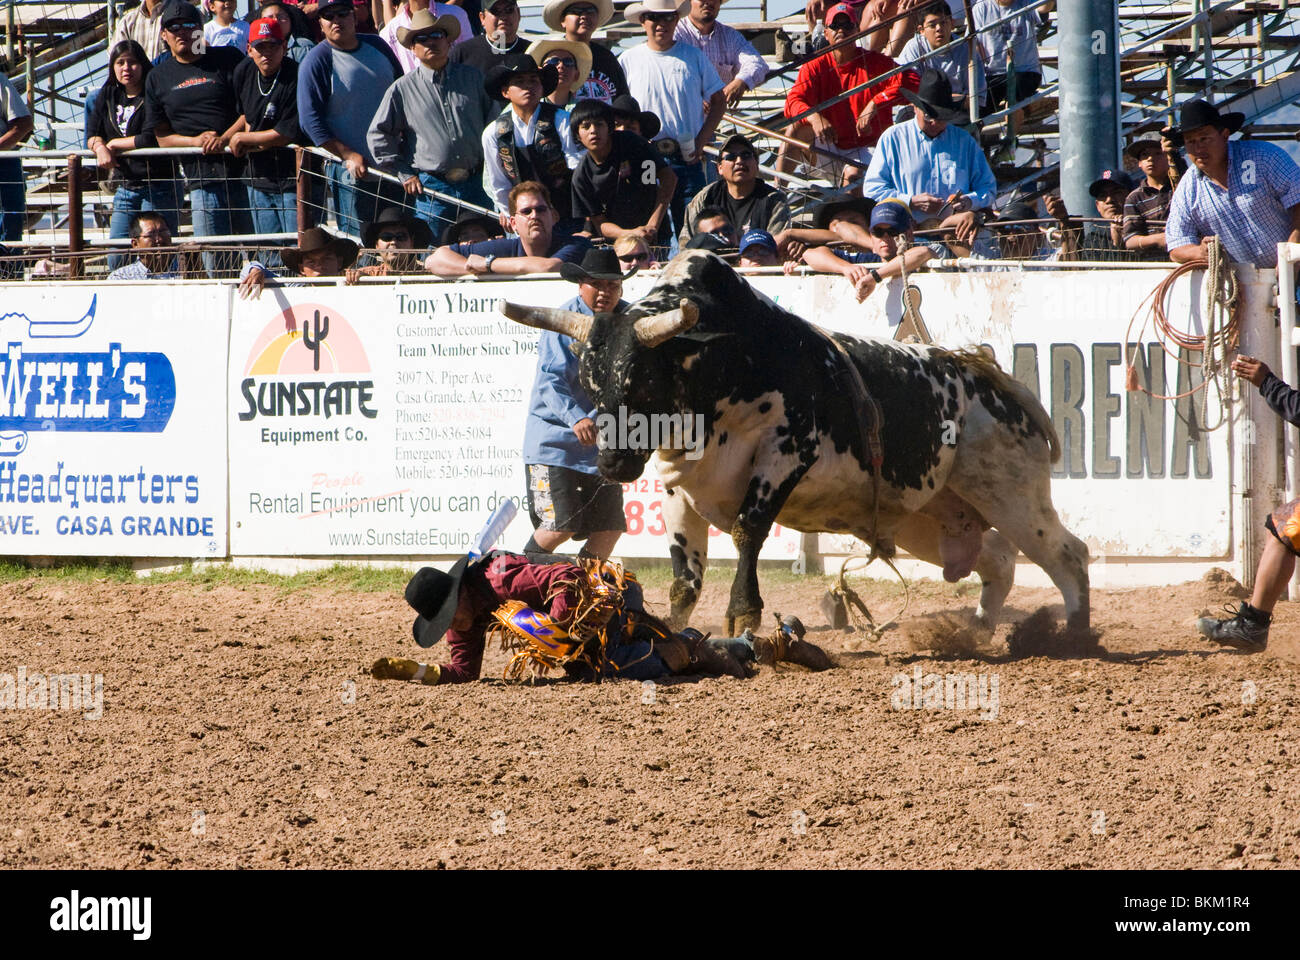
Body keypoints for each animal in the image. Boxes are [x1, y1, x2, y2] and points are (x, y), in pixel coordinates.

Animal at [501, 250, 1089, 639]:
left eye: (642, 383)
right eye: (591, 384)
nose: (611, 462)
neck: (728, 361)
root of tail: (988, 378)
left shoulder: (786, 453)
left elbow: (748, 530)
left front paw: (743, 614)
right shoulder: (677, 486)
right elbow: (685, 576)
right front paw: (674, 630)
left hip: (1012, 492)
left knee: (1065, 553)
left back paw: (1076, 634)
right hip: (930, 519)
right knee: (998, 558)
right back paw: (981, 630)